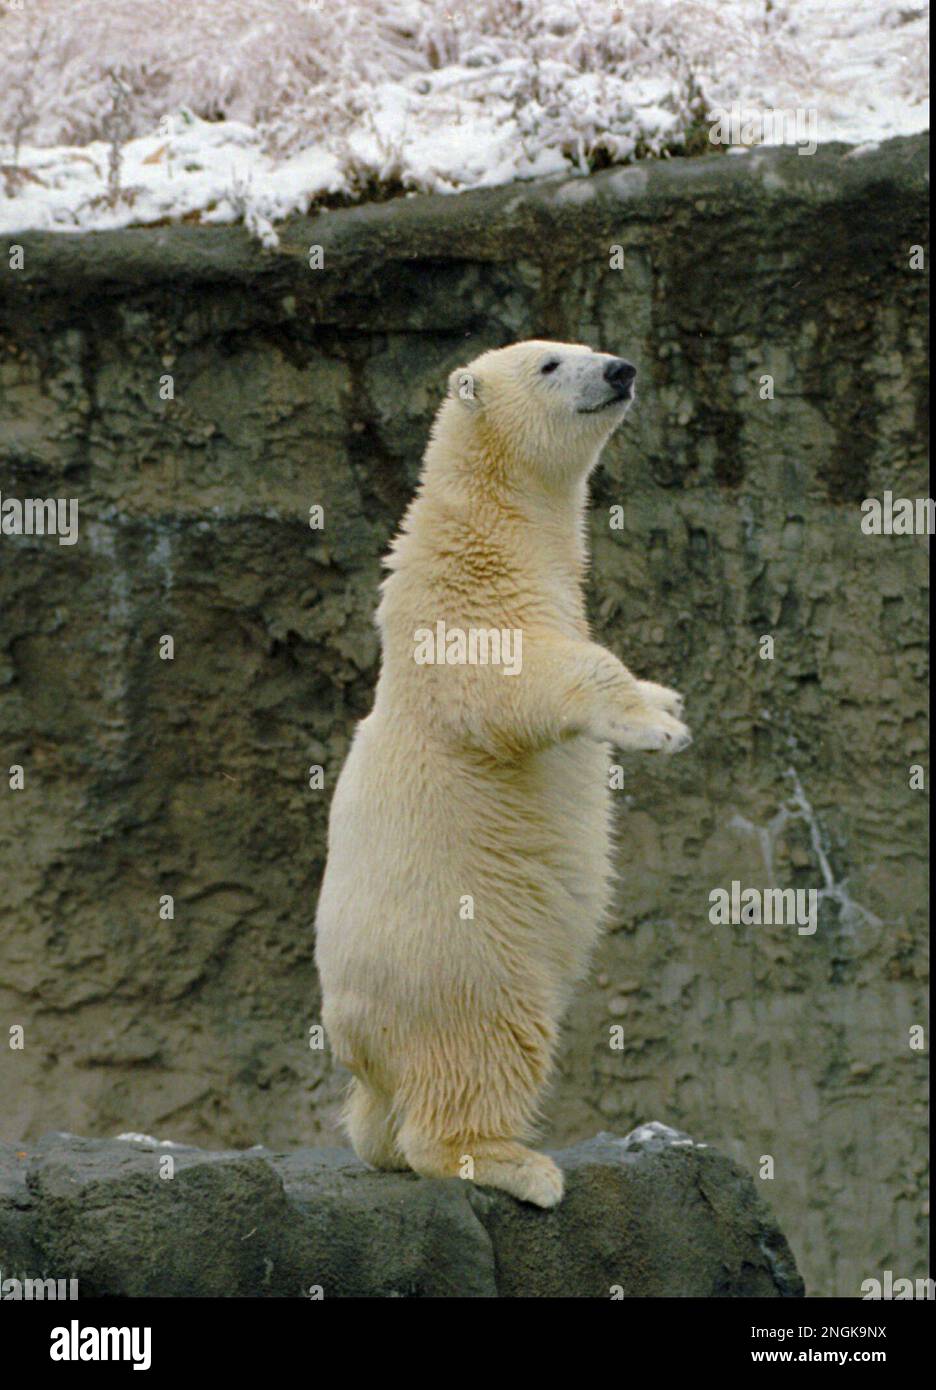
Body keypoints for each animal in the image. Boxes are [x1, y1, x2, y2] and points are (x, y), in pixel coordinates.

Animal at [314, 340, 690, 1208]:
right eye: (552, 363)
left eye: (584, 346)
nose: (619, 369)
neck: (492, 525)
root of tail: (354, 1033)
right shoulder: (464, 602)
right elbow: (520, 681)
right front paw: (652, 726)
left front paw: (668, 696)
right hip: (463, 956)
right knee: (482, 1050)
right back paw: (517, 1165)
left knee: (381, 1111)